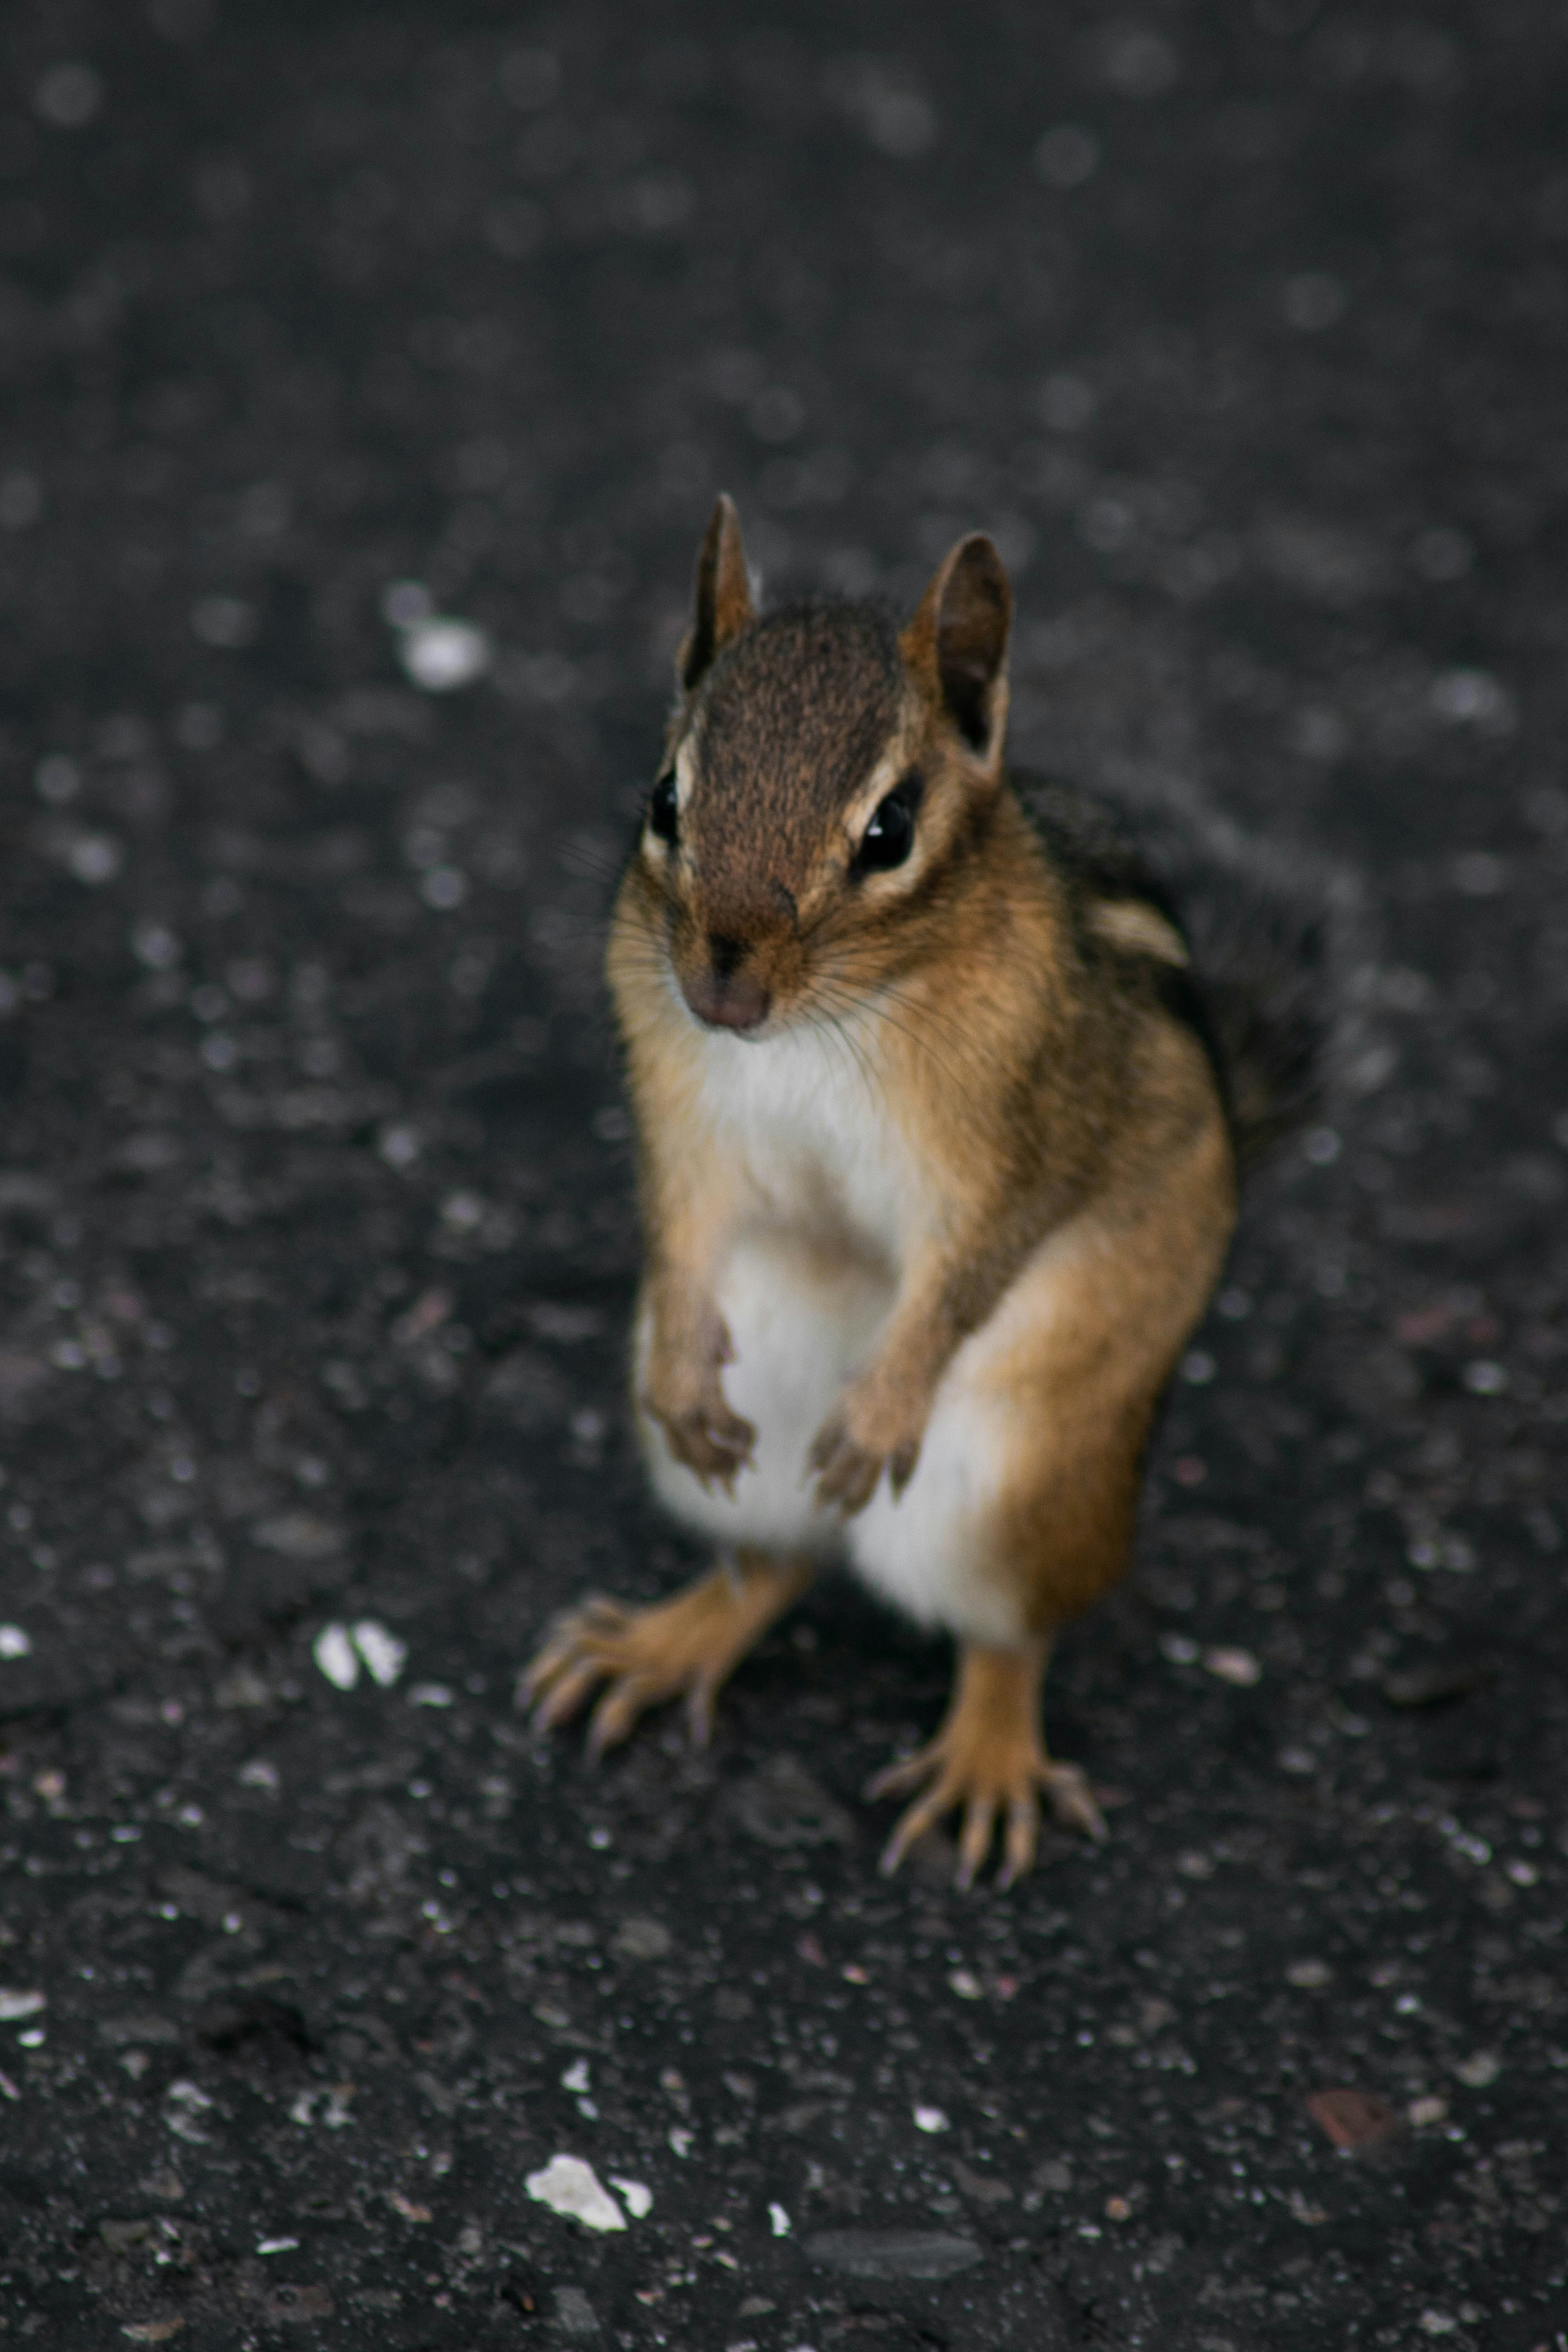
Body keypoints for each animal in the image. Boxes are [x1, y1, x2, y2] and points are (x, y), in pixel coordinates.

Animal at [524, 495, 1330, 1887]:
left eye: (888, 833)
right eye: (666, 798)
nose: (722, 982)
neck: (818, 1030)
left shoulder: (1010, 1152)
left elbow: (963, 1270)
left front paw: (882, 1408)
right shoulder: (682, 1114)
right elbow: (679, 1221)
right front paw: (685, 1371)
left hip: (1017, 1472)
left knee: (1006, 1633)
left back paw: (984, 1761)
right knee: (777, 1562)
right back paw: (663, 1640)